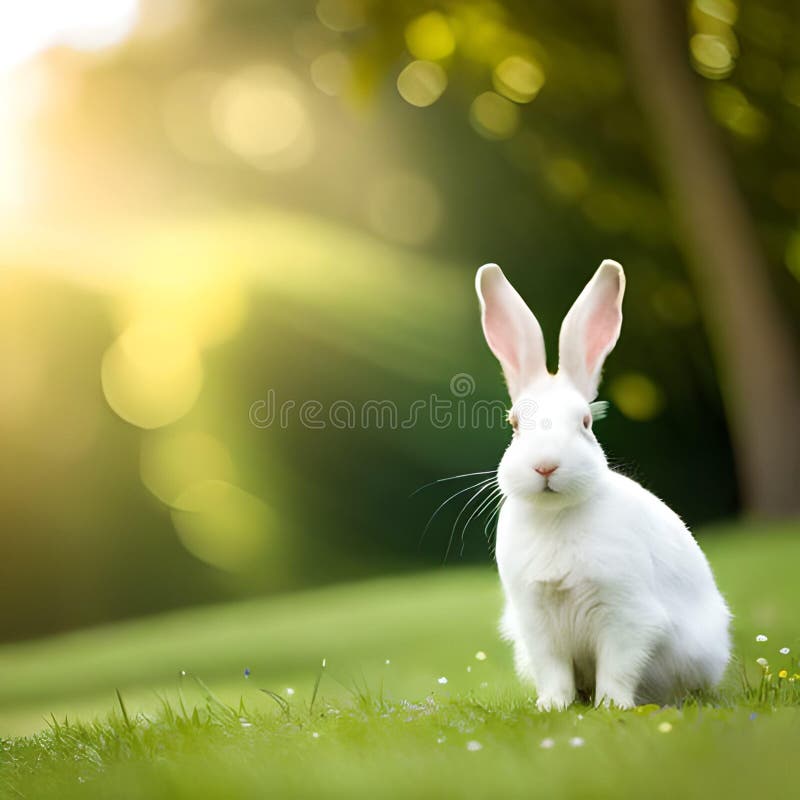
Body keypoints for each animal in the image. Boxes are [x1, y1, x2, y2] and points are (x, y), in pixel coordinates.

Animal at [475, 260, 731, 710]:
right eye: (514, 424)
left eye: (585, 422)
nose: (545, 466)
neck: (556, 516)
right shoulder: (536, 622)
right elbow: (554, 673)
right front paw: (553, 707)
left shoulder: (626, 614)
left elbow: (618, 668)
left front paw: (612, 708)